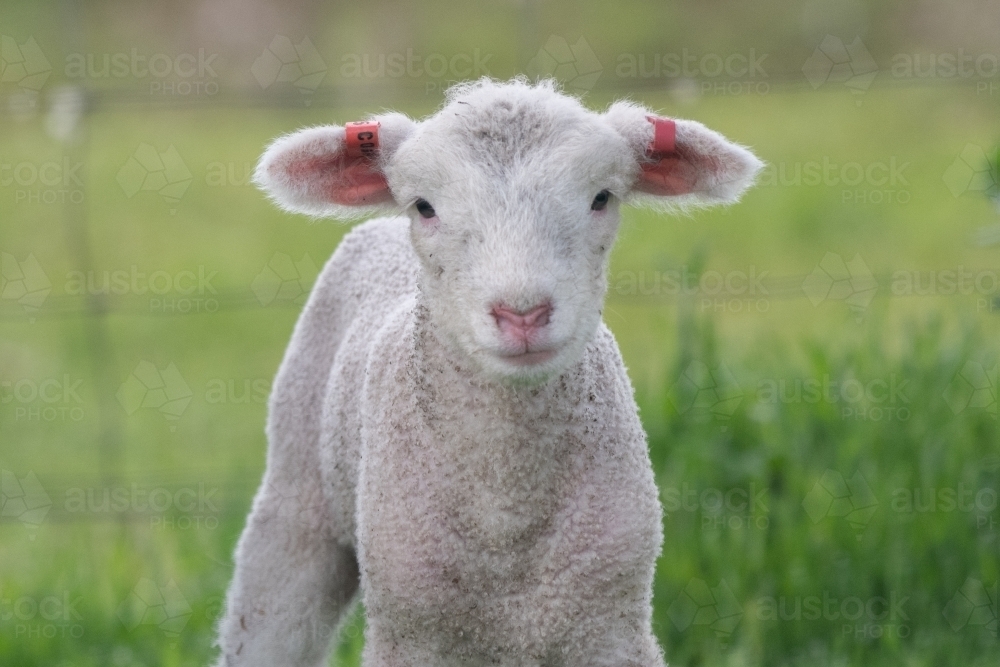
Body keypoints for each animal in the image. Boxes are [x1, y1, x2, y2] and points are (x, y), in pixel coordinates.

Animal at [213, 77, 762, 667]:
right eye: (425, 207)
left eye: (601, 198)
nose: (522, 314)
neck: (506, 512)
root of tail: (378, 227)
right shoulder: (412, 633)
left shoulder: (609, 627)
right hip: (294, 499)